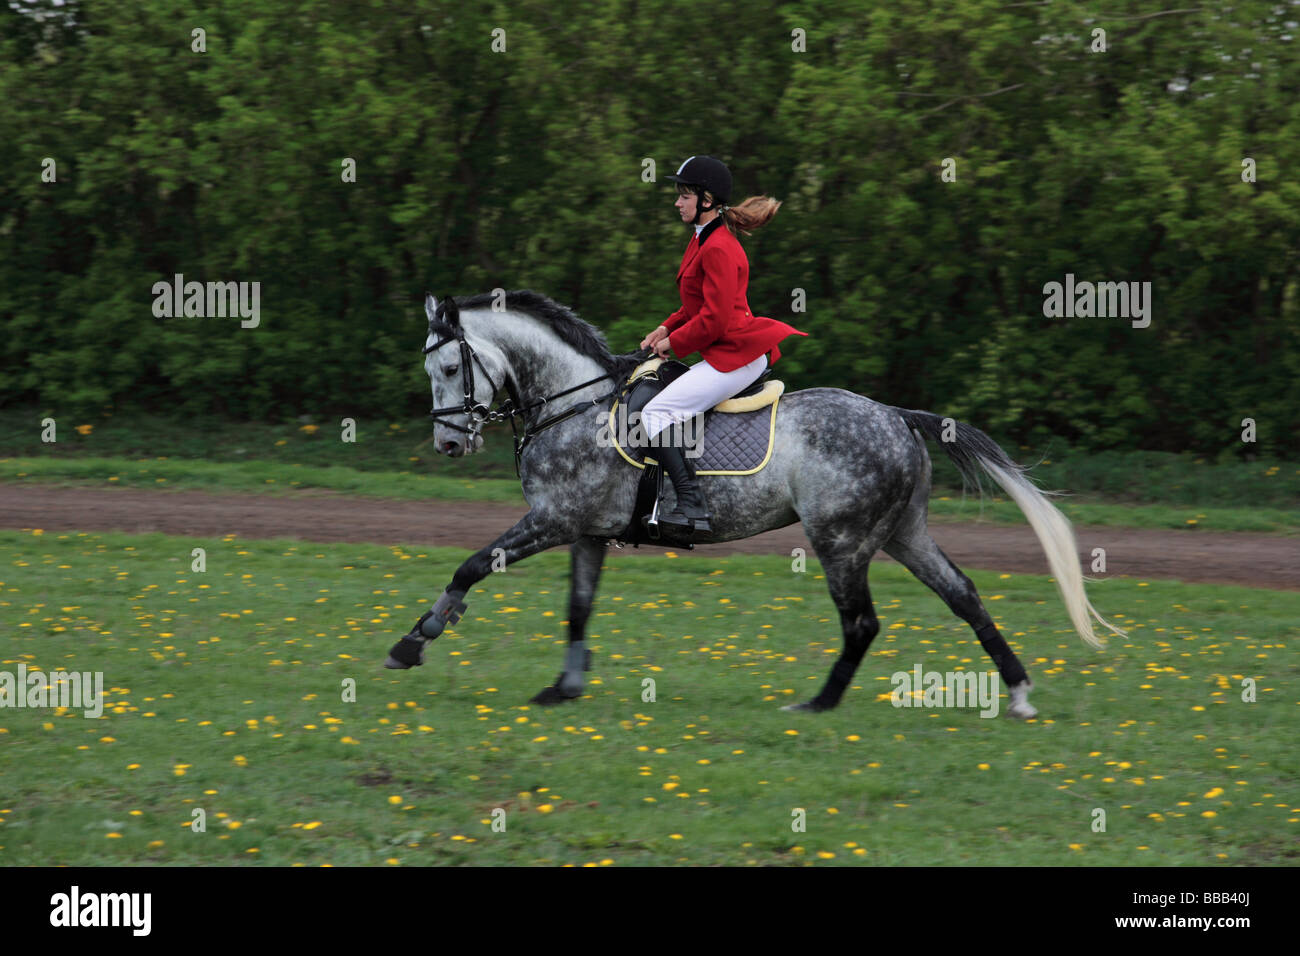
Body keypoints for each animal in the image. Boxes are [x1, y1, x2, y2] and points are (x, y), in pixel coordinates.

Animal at [385, 290, 1124, 717]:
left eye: (448, 368)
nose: (449, 443)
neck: (575, 402)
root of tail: (895, 416)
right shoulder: (587, 532)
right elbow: (578, 609)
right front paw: (564, 688)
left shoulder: (553, 520)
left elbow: (472, 565)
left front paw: (416, 639)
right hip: (901, 533)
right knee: (963, 594)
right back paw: (1018, 692)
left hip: (841, 540)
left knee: (862, 622)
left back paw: (820, 704)